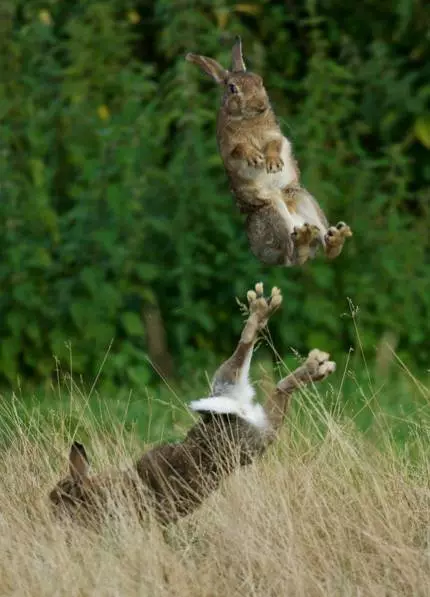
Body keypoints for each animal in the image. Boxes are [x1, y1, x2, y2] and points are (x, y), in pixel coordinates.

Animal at [186, 38, 352, 266]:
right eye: (232, 88)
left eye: (260, 81)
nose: (261, 105)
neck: (249, 119)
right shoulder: (229, 148)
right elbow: (241, 149)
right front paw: (256, 158)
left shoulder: (275, 136)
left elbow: (274, 145)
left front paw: (273, 164)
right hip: (273, 213)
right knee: (292, 255)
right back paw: (305, 239)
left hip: (303, 199)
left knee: (322, 249)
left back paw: (336, 236)